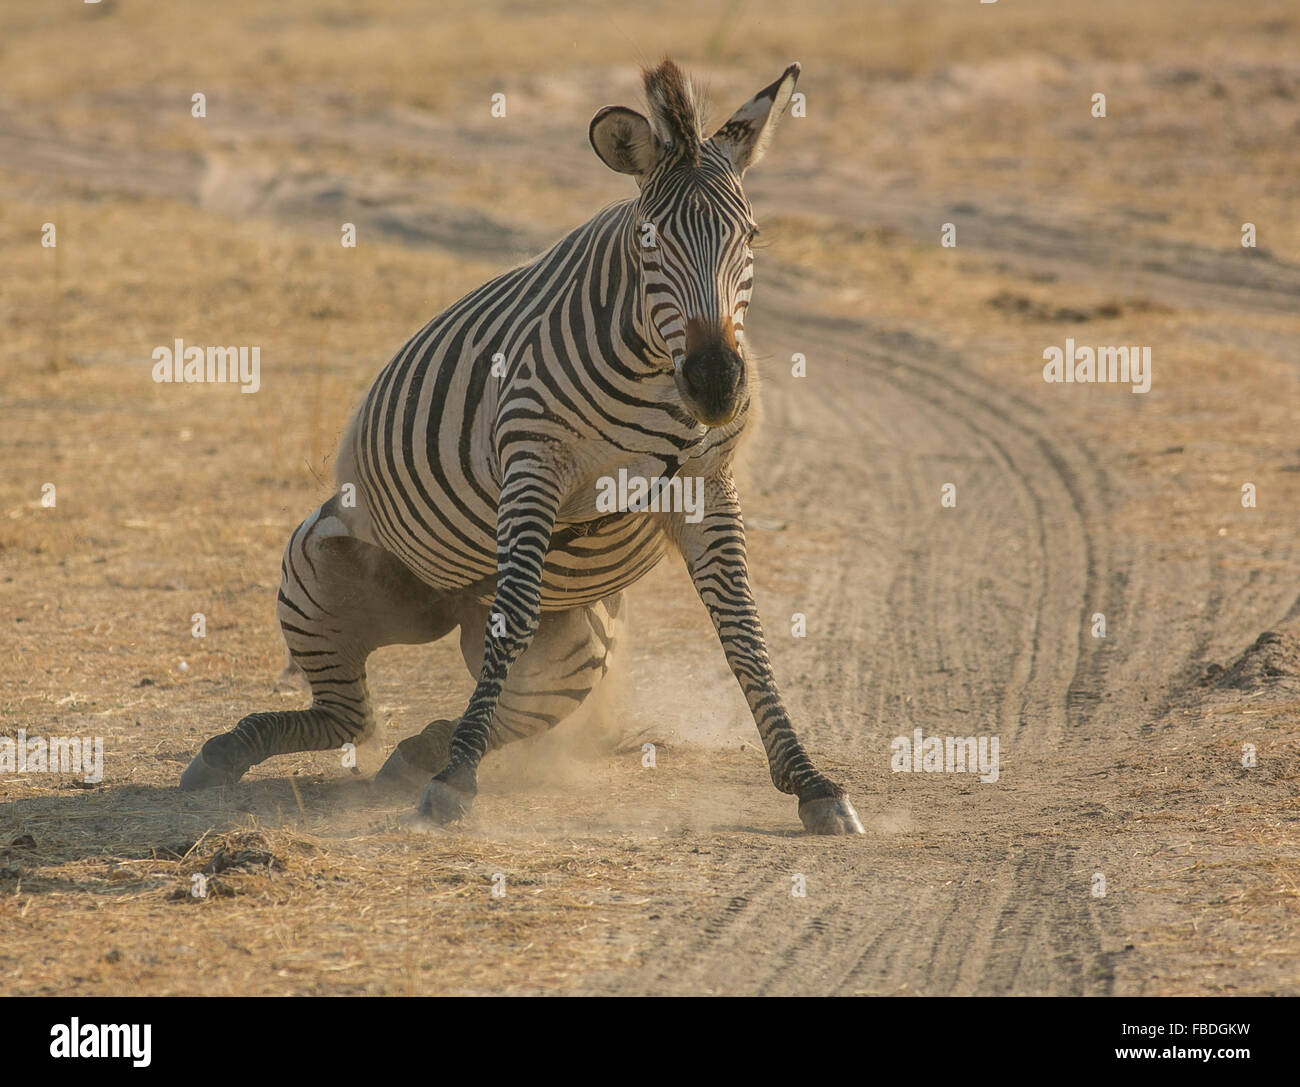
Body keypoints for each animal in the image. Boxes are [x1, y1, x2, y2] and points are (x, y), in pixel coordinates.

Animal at [181, 59, 864, 835]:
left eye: (750, 238)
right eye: (648, 243)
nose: (716, 383)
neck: (655, 374)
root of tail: (448, 608)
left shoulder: (706, 482)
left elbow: (744, 631)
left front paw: (810, 782)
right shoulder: (531, 464)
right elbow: (517, 614)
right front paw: (456, 781)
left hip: (574, 654)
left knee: (459, 706)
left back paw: (425, 748)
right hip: (316, 568)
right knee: (350, 714)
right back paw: (230, 753)